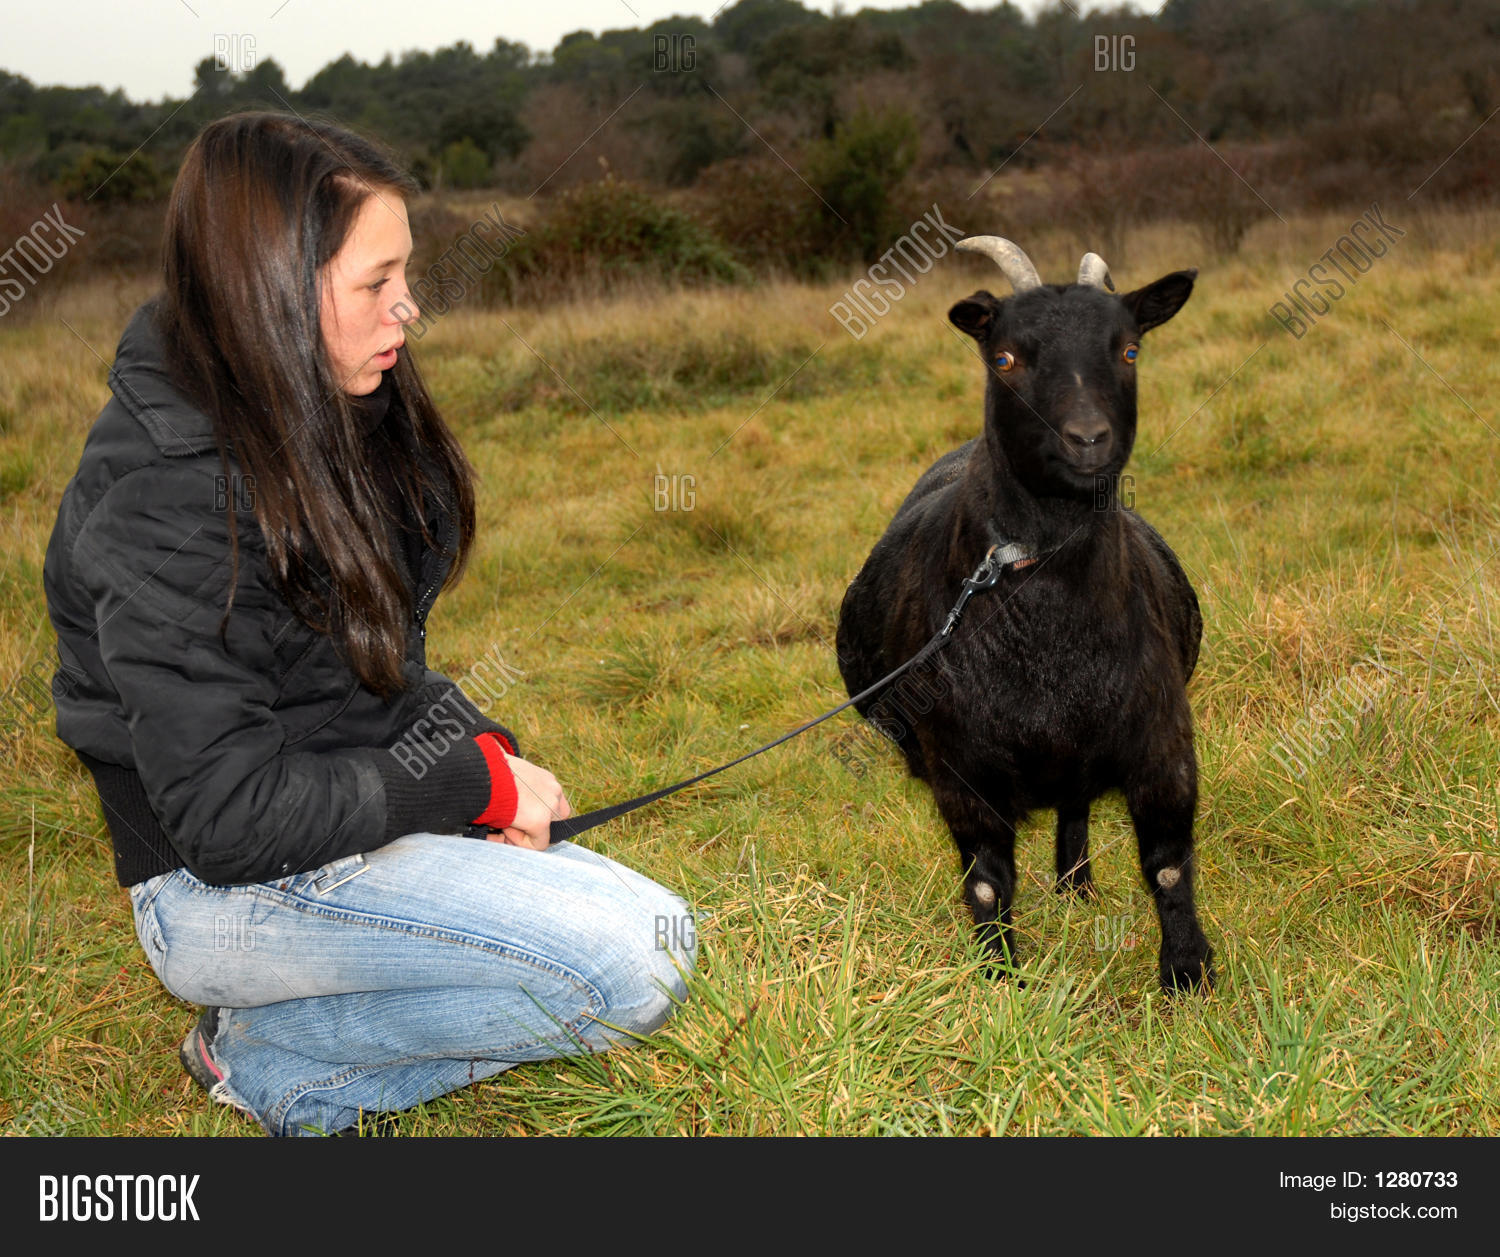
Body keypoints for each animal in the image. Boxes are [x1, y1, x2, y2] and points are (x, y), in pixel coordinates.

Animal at [835, 236, 1214, 992]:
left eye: (1130, 350)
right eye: (1005, 358)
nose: (1087, 438)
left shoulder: (1160, 739)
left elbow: (1166, 865)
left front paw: (1188, 972)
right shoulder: (960, 767)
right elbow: (987, 880)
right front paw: (999, 975)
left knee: (1075, 803)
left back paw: (1076, 885)